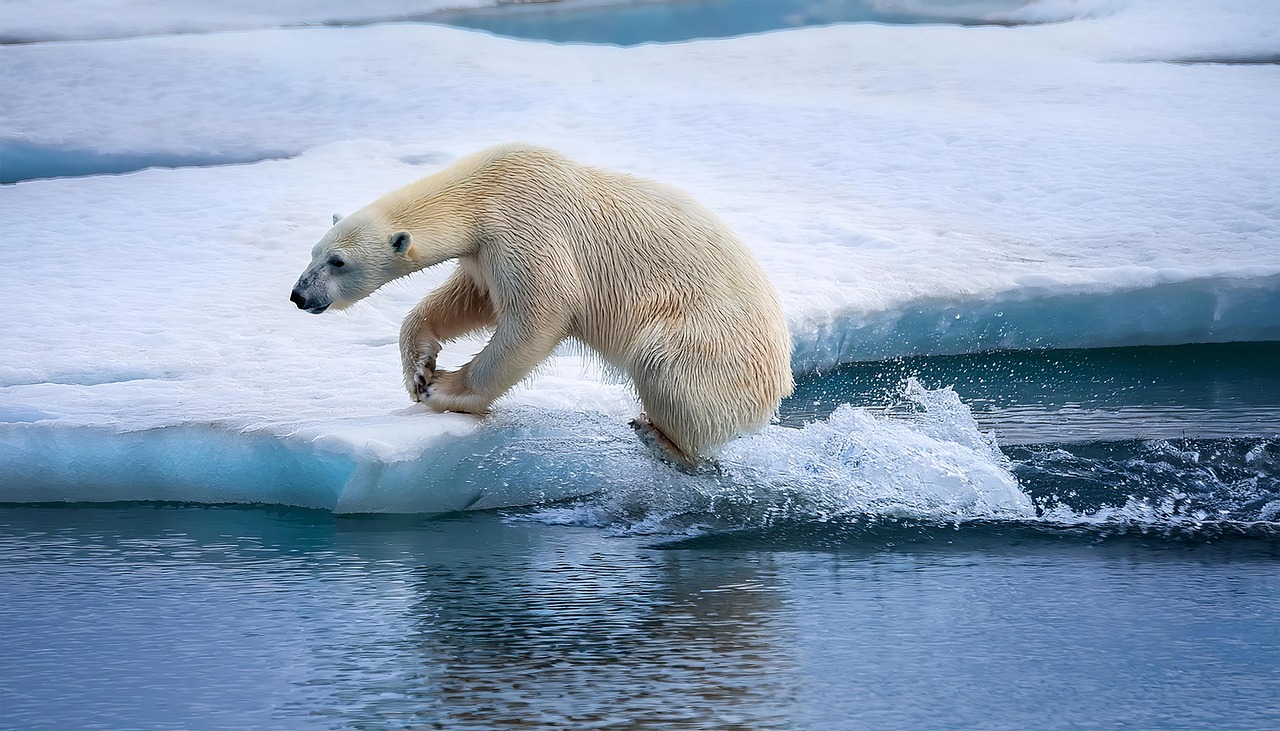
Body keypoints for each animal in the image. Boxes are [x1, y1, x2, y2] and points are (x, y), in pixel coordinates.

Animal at [290, 143, 793, 467]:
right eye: (314, 251)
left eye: (338, 262)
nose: (298, 295)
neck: (488, 187)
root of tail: (779, 383)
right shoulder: (484, 250)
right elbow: (470, 299)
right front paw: (419, 368)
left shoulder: (527, 225)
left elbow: (538, 314)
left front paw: (443, 388)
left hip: (707, 340)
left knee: (665, 367)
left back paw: (664, 440)